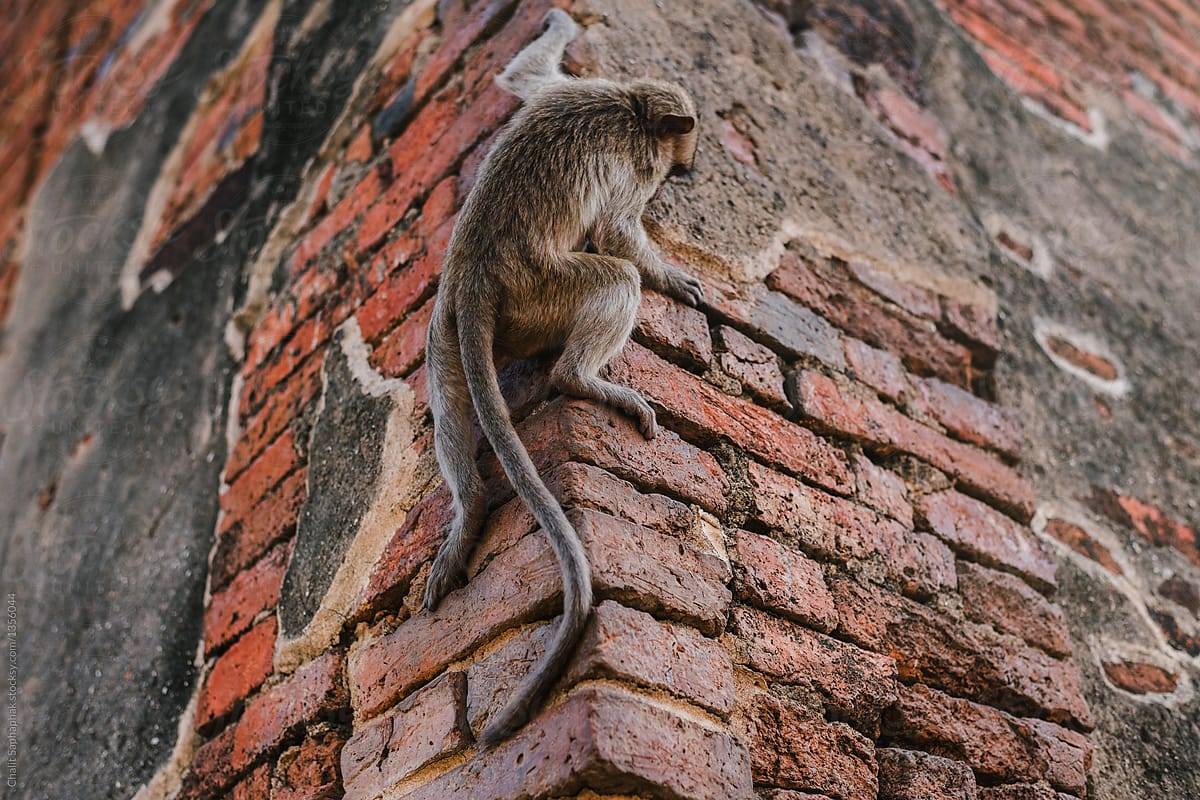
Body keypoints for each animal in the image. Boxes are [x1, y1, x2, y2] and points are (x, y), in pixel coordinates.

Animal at [421, 8, 703, 748]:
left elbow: (526, 78)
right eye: (679, 151)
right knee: (614, 277)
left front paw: (558, 23)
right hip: (540, 295)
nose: (690, 169)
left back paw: (469, 509)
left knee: (448, 400)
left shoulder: (573, 85)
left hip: (447, 328)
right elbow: (620, 233)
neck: (629, 105)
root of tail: (478, 274)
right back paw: (583, 381)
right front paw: (671, 277)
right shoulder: (633, 167)